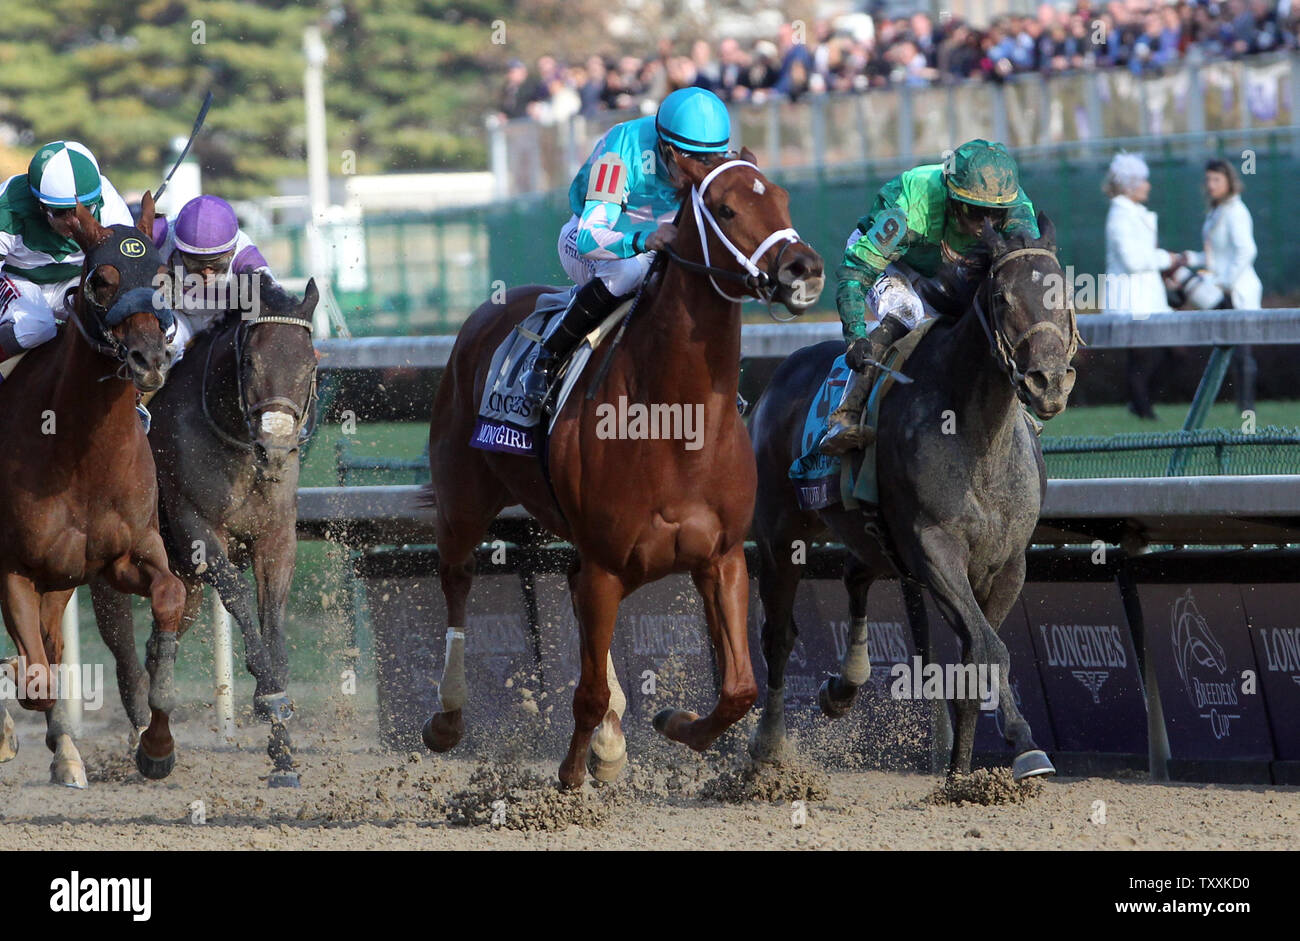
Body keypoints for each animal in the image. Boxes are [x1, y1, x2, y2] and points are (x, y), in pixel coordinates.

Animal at [0, 194, 186, 787]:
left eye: (161, 277)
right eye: (101, 279)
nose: (150, 360)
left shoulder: (121, 556)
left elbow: (170, 596)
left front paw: (156, 745)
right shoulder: (13, 568)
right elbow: (33, 677)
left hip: (61, 580)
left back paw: (65, 752)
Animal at [89, 275, 319, 787]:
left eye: (310, 363)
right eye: (250, 361)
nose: (276, 448)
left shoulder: (276, 540)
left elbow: (274, 625)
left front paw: (284, 755)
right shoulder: (199, 533)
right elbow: (242, 605)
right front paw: (269, 699)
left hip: (185, 584)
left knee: (158, 643)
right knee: (125, 658)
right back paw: (138, 742)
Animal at [422, 148, 824, 788]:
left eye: (782, 197)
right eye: (727, 208)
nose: (803, 268)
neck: (676, 423)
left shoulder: (721, 557)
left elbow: (739, 689)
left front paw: (674, 725)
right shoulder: (609, 566)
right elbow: (584, 694)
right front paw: (569, 775)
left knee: (564, 584)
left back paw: (611, 741)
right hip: (463, 499)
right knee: (456, 577)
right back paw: (449, 718)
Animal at [747, 213, 1078, 781]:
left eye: (1063, 293)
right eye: (1003, 297)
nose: (1047, 383)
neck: (977, 436)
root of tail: (775, 380)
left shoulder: (1008, 563)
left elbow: (977, 656)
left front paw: (967, 772)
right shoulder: (933, 549)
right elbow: (988, 648)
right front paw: (1017, 748)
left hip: (872, 536)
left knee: (855, 574)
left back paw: (844, 686)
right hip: (779, 531)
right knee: (779, 635)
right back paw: (769, 745)